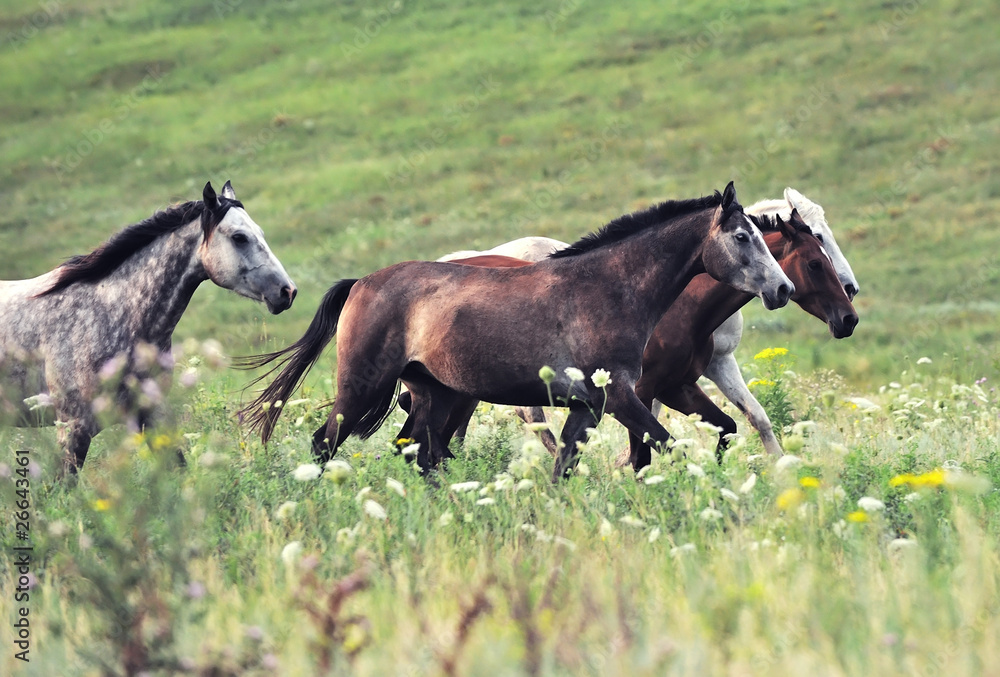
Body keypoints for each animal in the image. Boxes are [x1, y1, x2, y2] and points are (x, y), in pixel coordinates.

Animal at [239, 182, 794, 480]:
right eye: (742, 237)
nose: (783, 288)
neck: (608, 289)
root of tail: (361, 283)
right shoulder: (621, 397)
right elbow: (666, 445)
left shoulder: (587, 406)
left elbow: (563, 467)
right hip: (360, 386)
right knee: (325, 443)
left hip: (433, 393)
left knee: (421, 454)